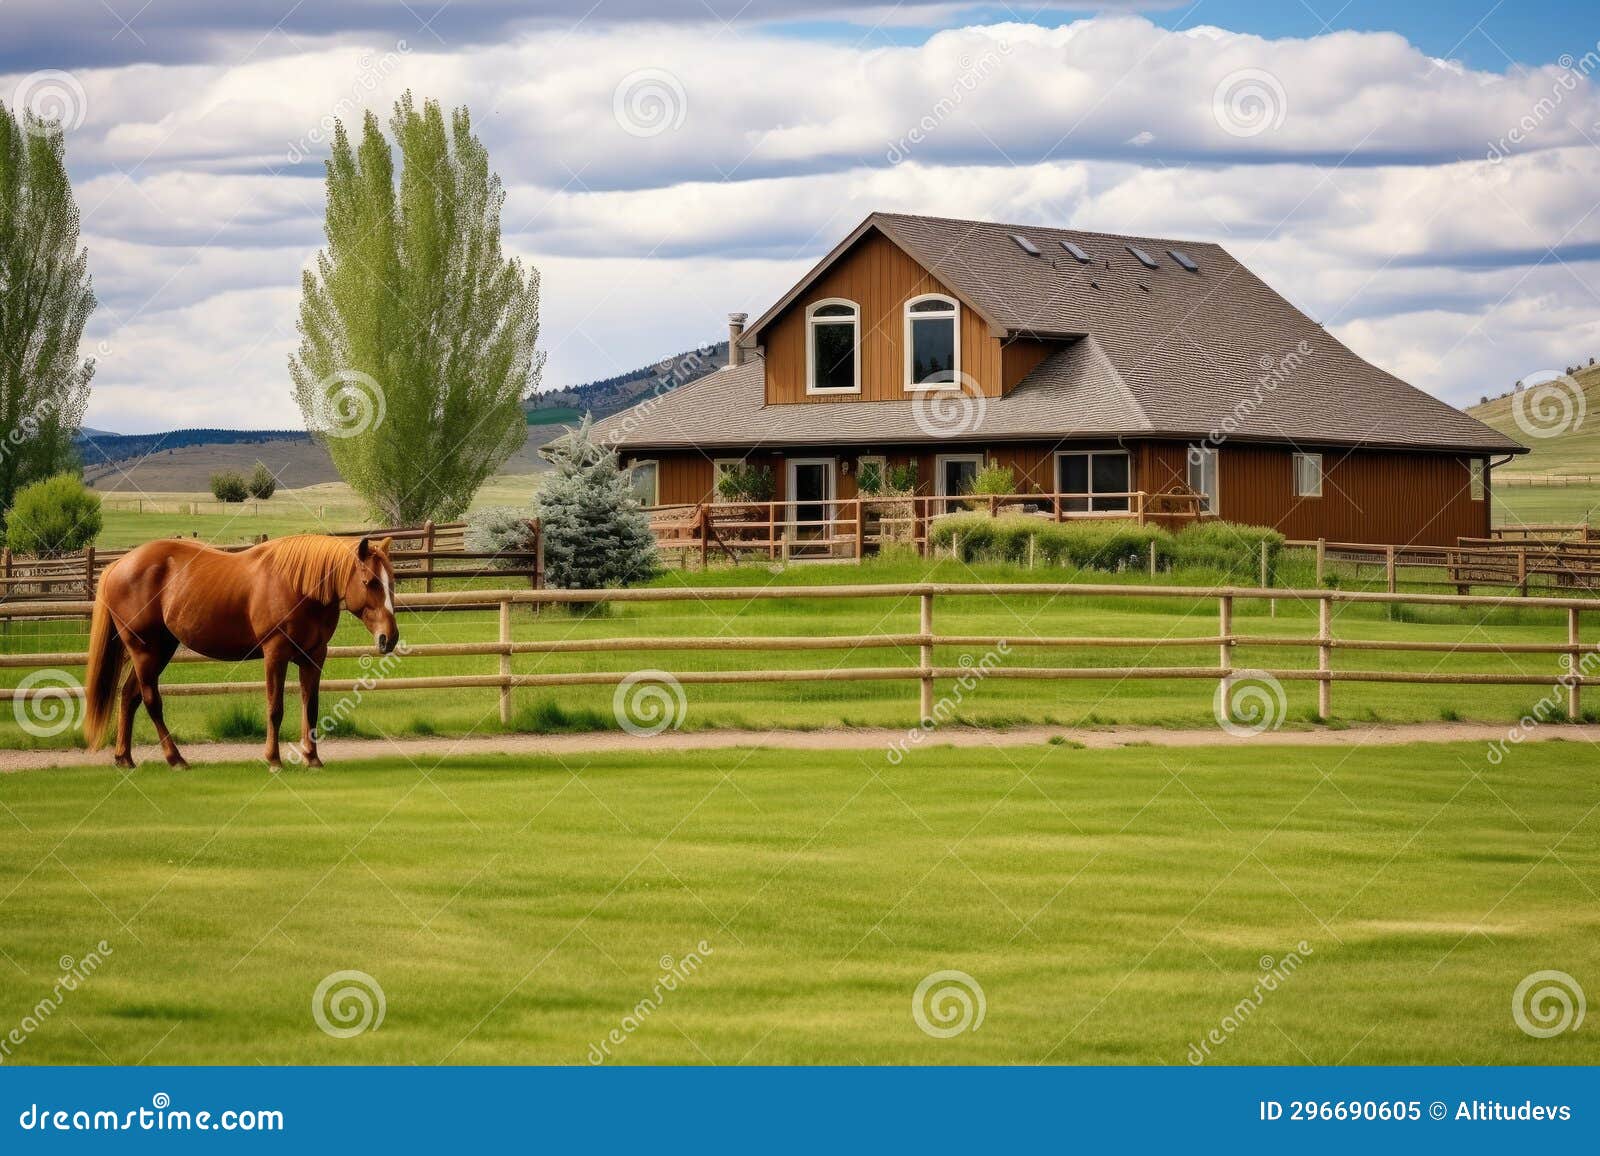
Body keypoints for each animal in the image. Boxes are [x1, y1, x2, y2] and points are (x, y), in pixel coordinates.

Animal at [82, 535, 399, 769]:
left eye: (392, 582)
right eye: (369, 582)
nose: (390, 638)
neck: (299, 586)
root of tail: (118, 565)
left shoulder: (314, 657)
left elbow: (311, 707)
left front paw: (312, 758)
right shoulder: (275, 655)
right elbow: (275, 708)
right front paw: (274, 759)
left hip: (159, 651)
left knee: (129, 697)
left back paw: (125, 758)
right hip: (145, 652)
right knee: (150, 701)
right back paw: (176, 759)